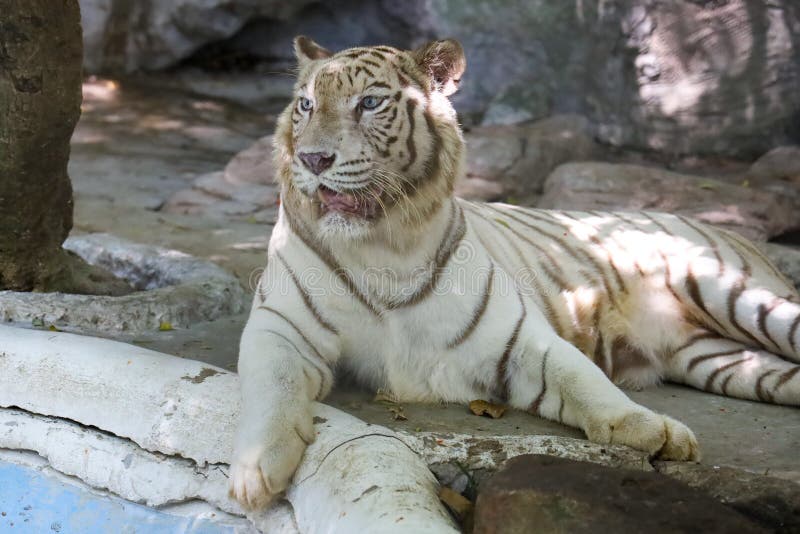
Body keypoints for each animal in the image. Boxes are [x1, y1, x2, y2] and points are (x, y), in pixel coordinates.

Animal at [228, 36, 800, 509]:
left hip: (737, 296)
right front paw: (255, 472)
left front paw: (648, 427)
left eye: (369, 103)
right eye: (306, 105)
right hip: (722, 360)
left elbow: (582, 378)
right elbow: (273, 385)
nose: (313, 159)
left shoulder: (517, 339)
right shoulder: (281, 326)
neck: (380, 246)